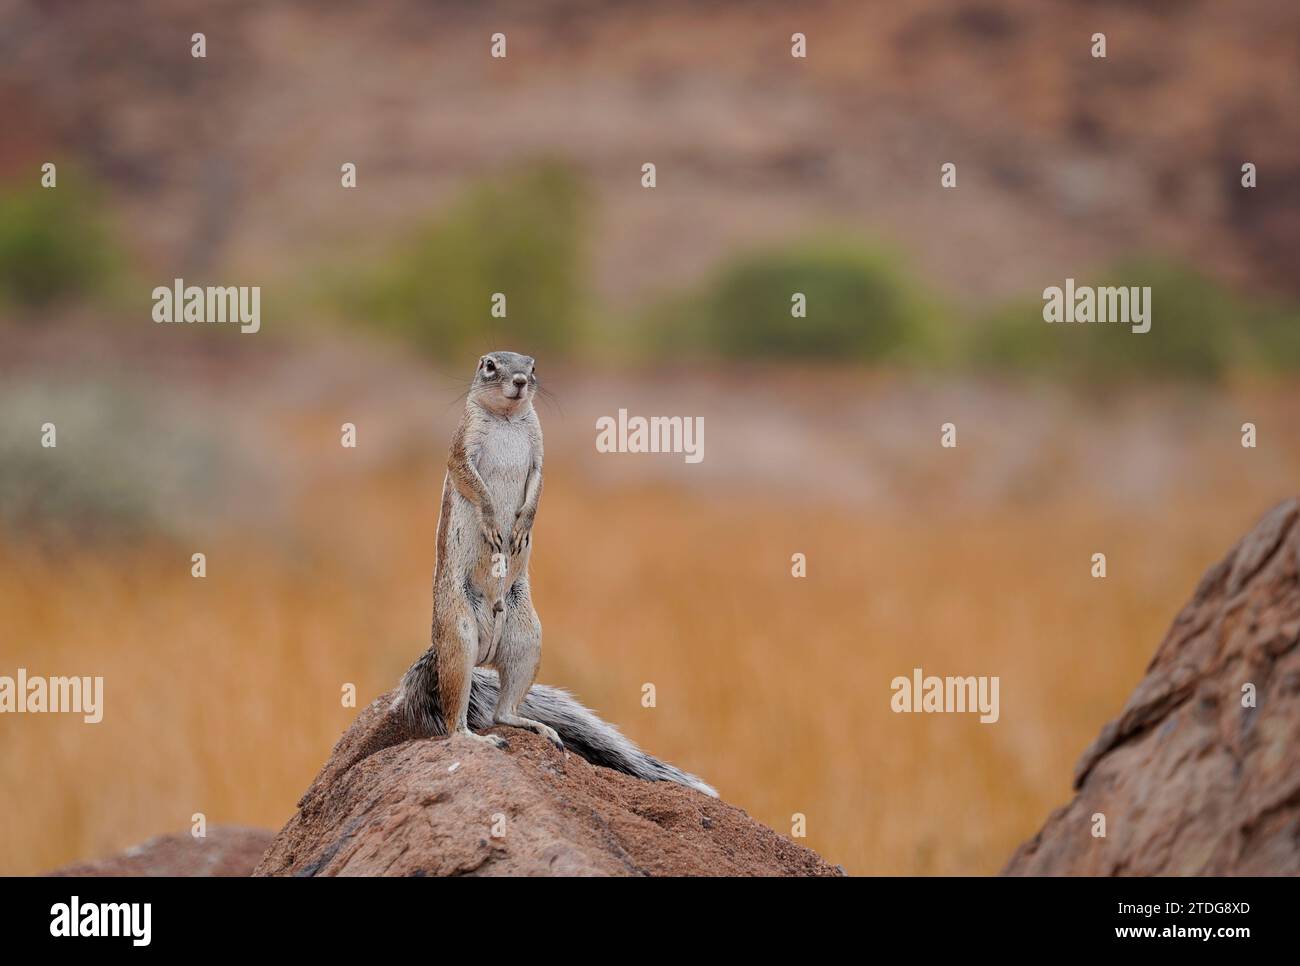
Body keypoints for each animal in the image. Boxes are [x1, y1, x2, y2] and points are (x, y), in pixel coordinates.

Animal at [398, 350, 717, 797]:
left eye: (532, 366)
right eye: (490, 365)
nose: (519, 381)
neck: (508, 418)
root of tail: (484, 654)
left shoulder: (538, 451)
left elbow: (537, 484)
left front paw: (522, 528)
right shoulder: (462, 447)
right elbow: (471, 481)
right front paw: (495, 526)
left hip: (528, 638)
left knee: (502, 711)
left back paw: (535, 726)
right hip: (458, 635)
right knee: (454, 721)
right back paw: (476, 737)